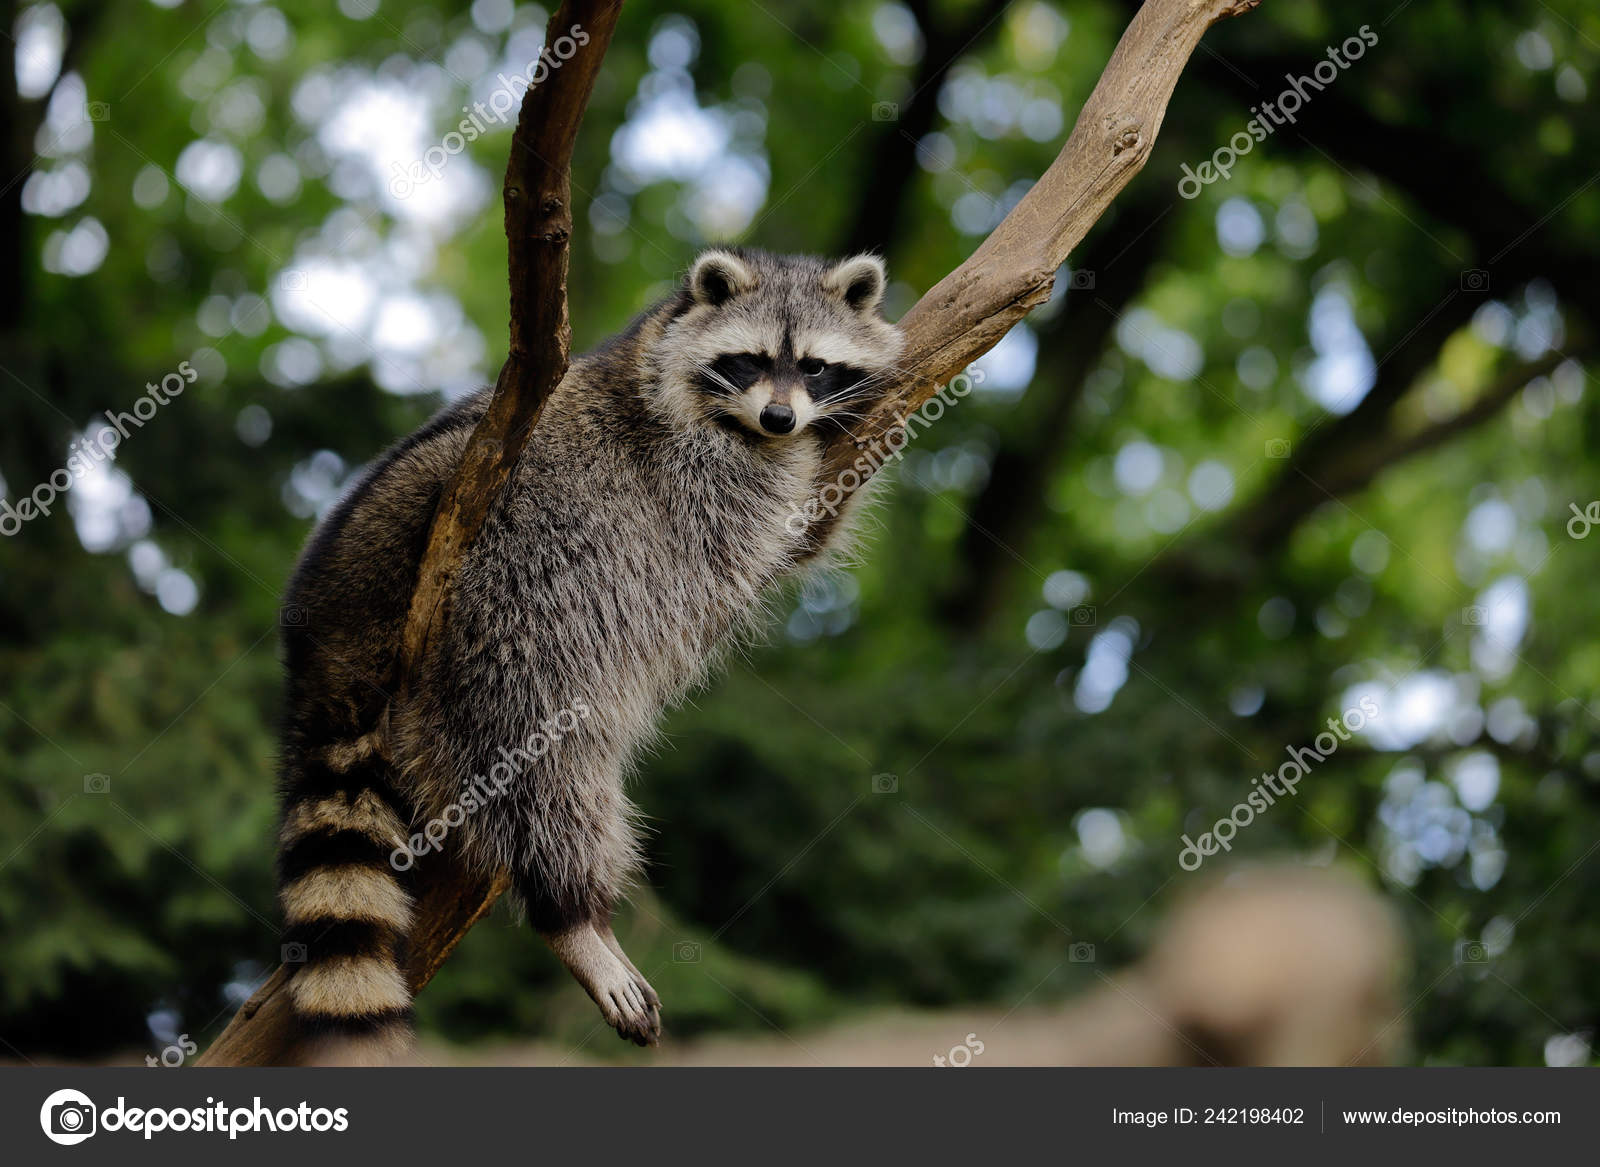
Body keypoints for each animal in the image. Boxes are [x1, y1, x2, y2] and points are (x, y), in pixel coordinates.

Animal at [275, 249, 903, 1058]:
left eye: (818, 366)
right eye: (750, 361)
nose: (780, 417)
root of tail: (324, 633)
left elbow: (810, 532)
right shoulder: (680, 463)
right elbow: (764, 510)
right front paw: (795, 459)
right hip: (491, 600)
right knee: (541, 766)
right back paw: (571, 914)